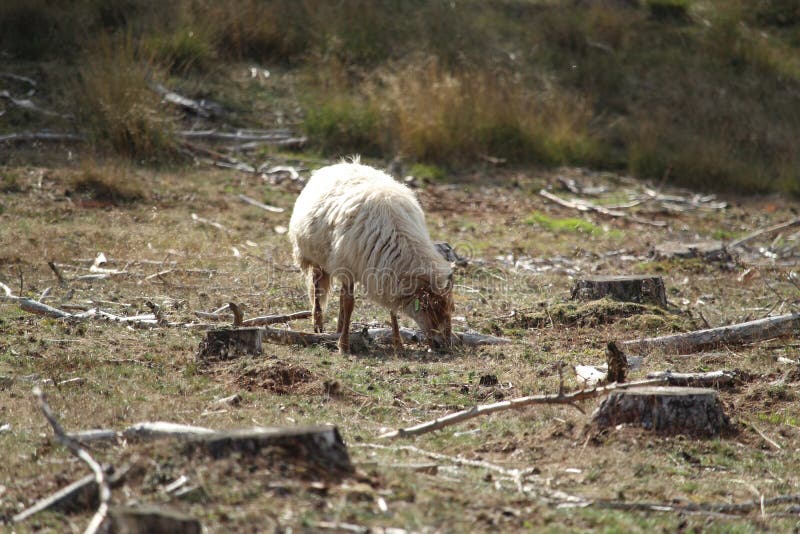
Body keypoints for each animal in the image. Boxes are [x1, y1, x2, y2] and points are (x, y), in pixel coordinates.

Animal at [288, 158, 454, 353]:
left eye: (449, 309)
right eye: (428, 308)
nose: (444, 344)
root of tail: (342, 164)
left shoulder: (387, 273)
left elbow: (391, 309)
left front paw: (398, 343)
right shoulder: (348, 265)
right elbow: (349, 303)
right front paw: (344, 345)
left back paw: (337, 329)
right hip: (315, 256)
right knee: (317, 288)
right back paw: (319, 325)